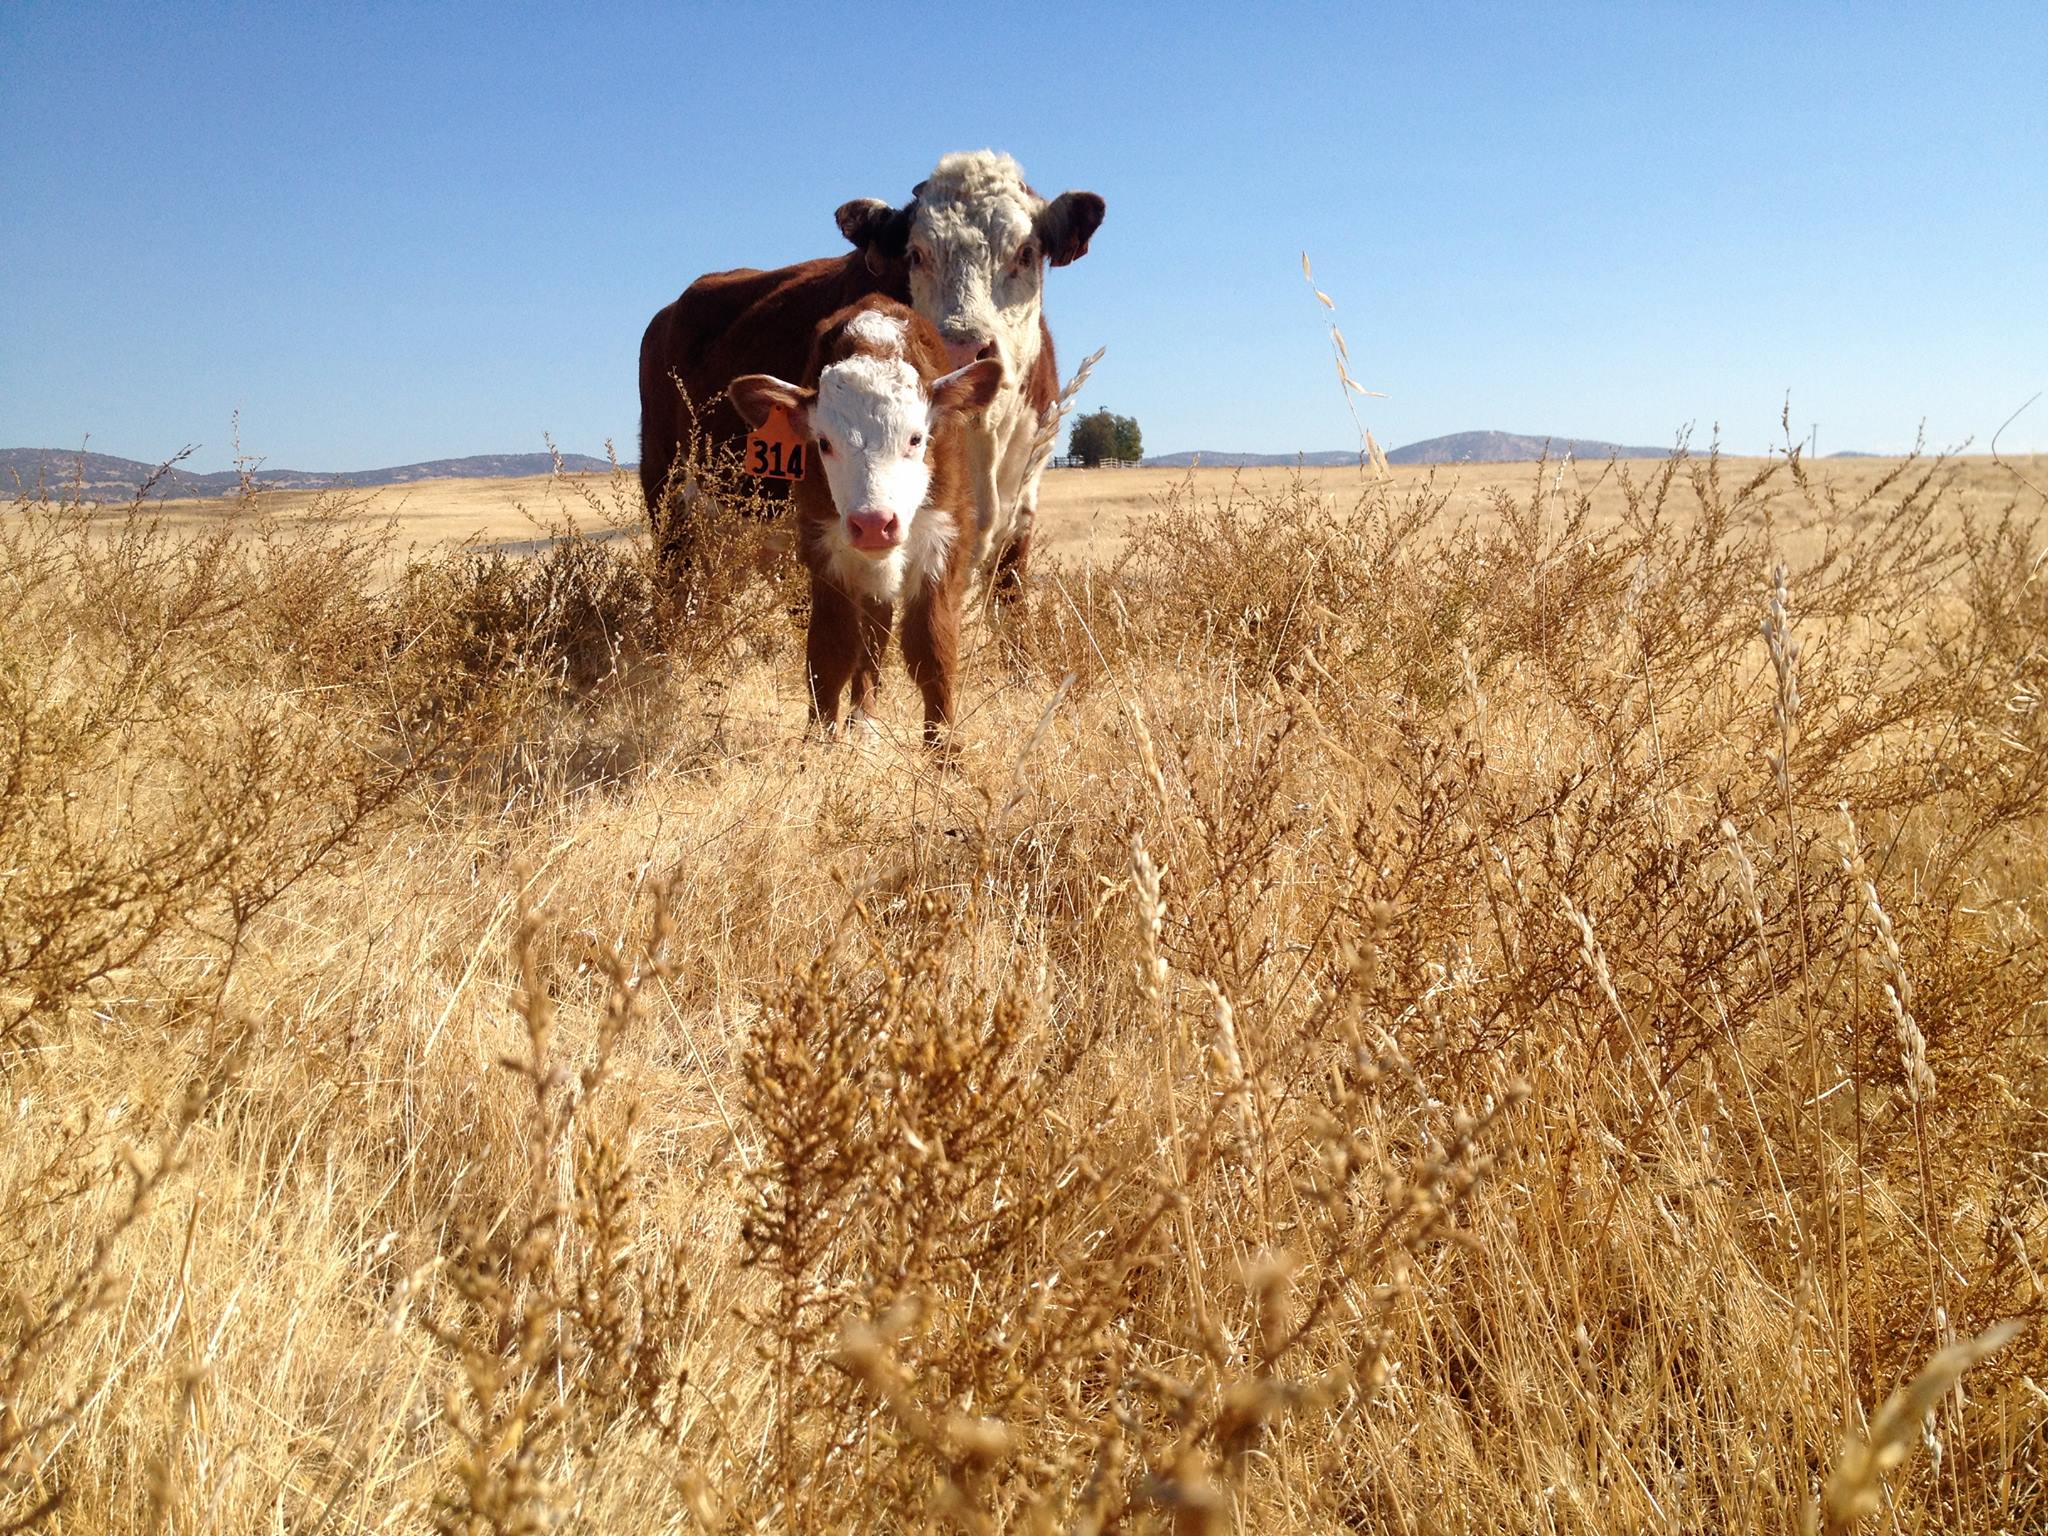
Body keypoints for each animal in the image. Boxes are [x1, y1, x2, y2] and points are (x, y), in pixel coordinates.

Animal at [725, 297, 1003, 748]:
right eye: (823, 443)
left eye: (916, 438)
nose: (874, 523)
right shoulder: (824, 546)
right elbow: (831, 650)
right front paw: (818, 743)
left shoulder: (945, 537)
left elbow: (933, 648)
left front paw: (943, 749)